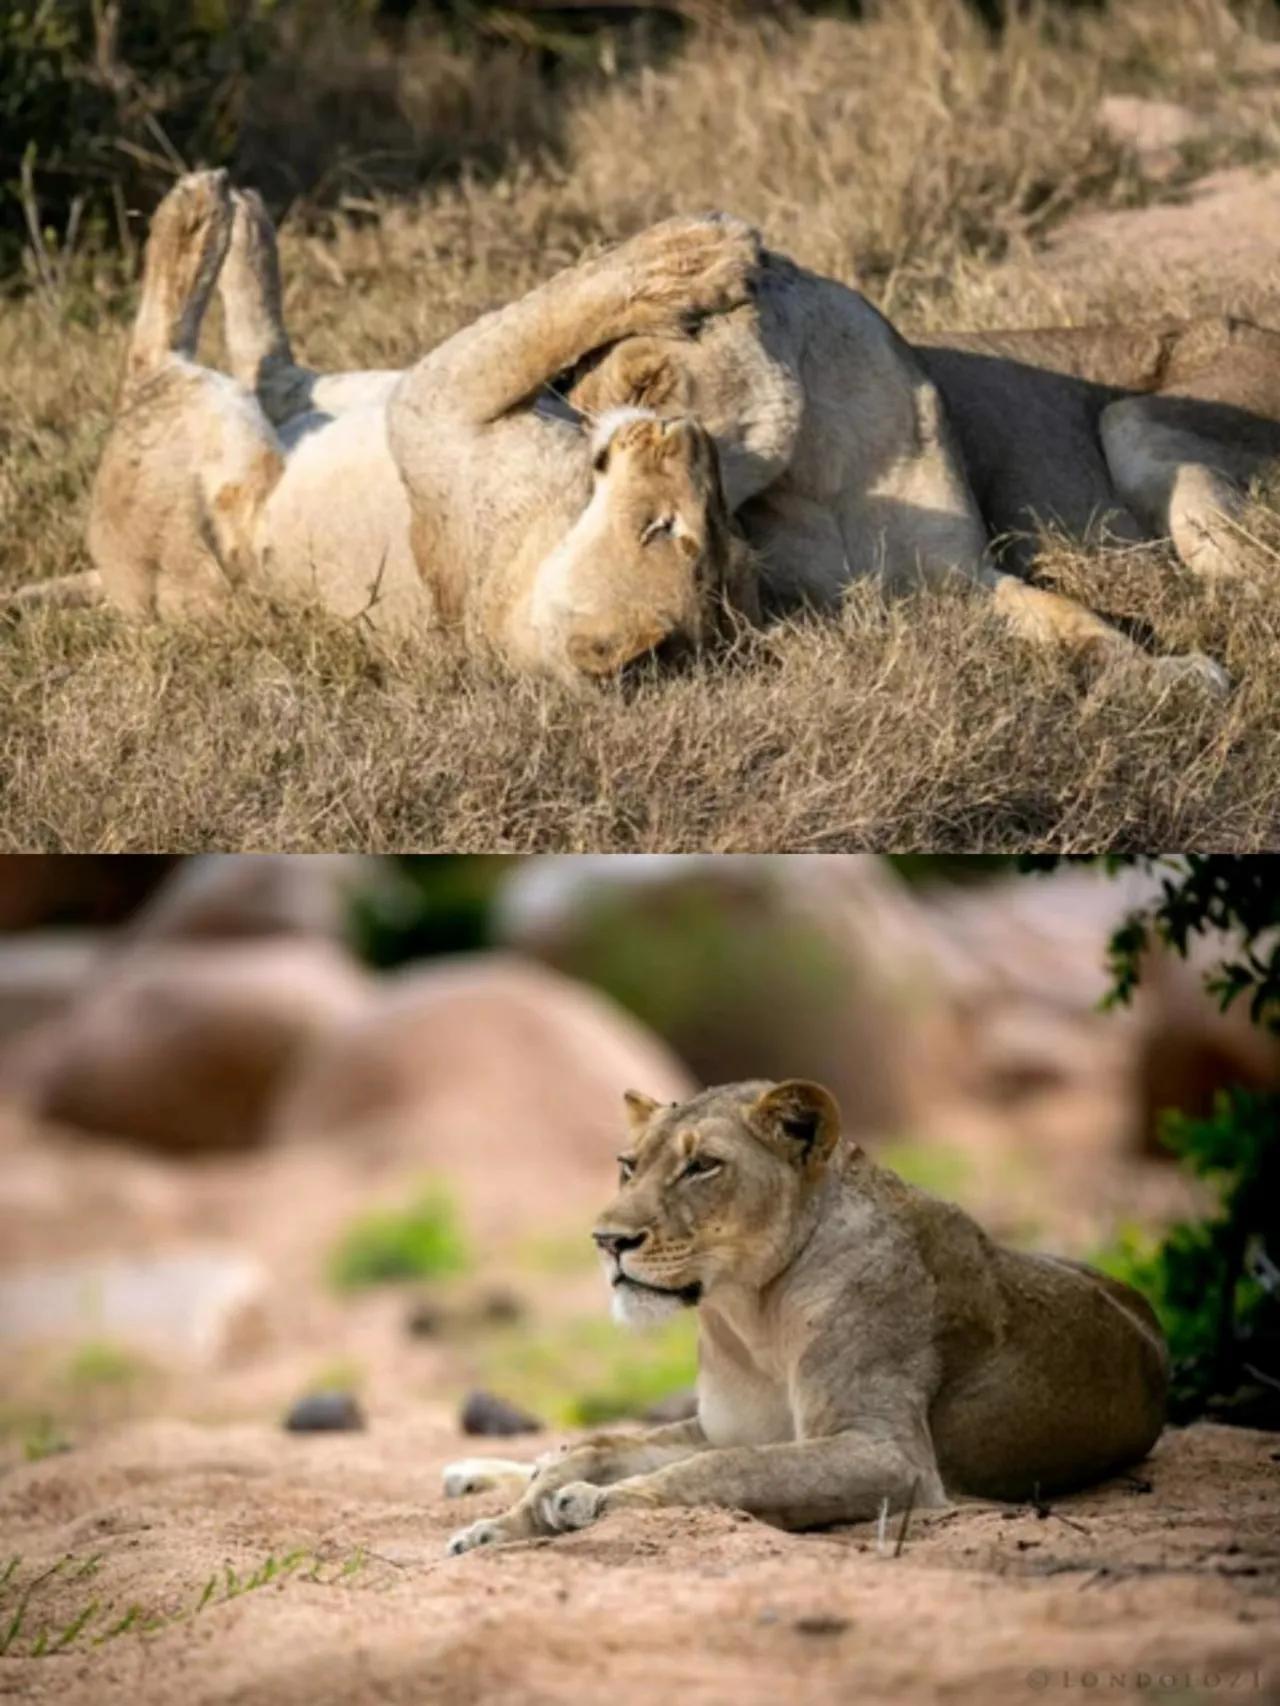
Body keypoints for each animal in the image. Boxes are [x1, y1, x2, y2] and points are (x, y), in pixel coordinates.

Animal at [442, 1079, 1168, 1554]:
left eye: (702, 1166)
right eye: (628, 1165)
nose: (607, 1242)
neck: (748, 1314)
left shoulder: (889, 1456)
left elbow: (725, 1472)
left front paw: (598, 1503)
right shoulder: (722, 1426)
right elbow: (606, 1447)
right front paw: (503, 1523)